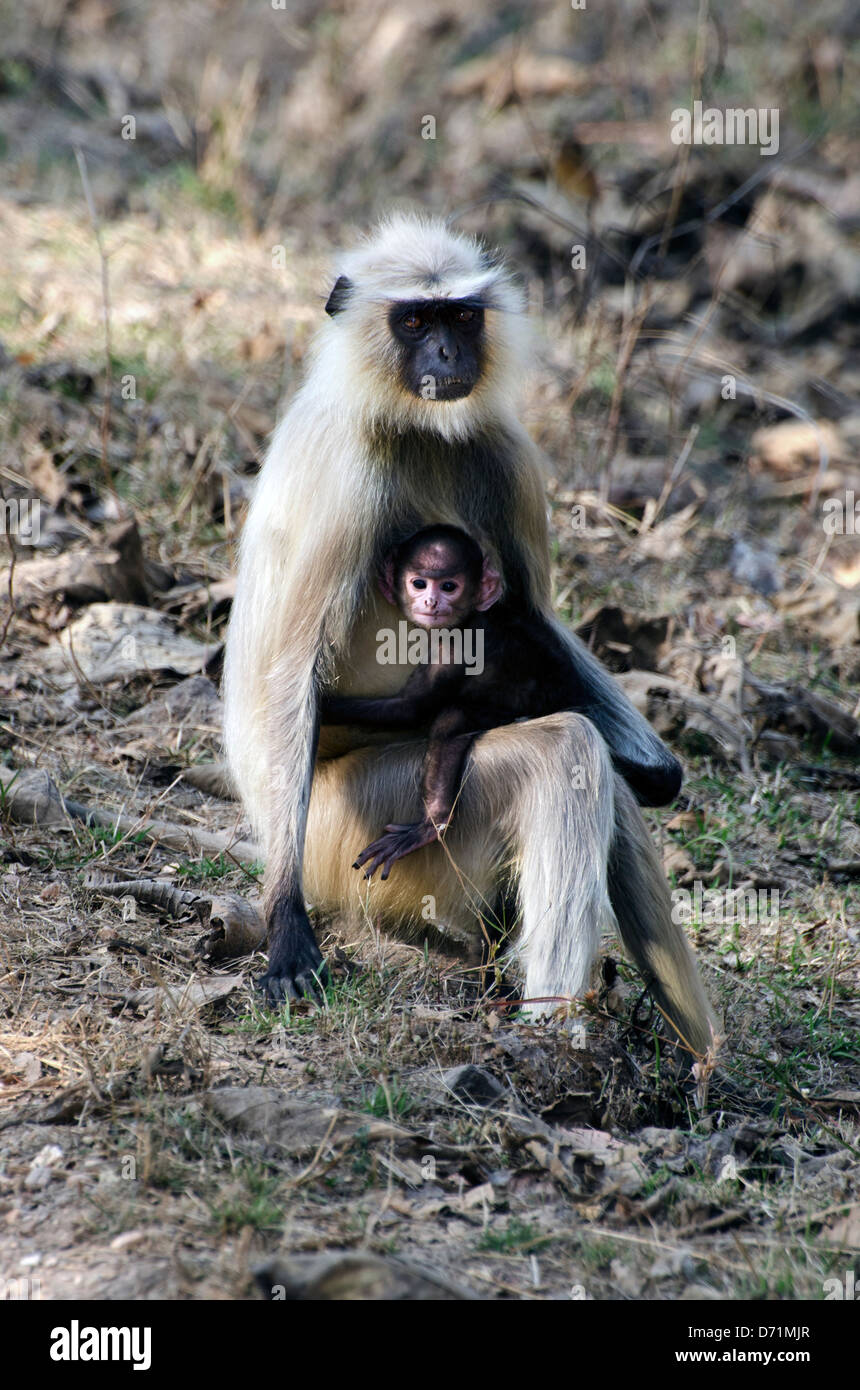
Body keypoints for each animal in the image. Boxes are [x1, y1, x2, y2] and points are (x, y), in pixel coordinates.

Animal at [321, 523, 600, 882]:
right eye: (419, 583)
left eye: (449, 586)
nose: (431, 600)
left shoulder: (453, 647)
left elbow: (411, 709)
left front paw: (322, 706)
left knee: (449, 722)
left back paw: (432, 824)